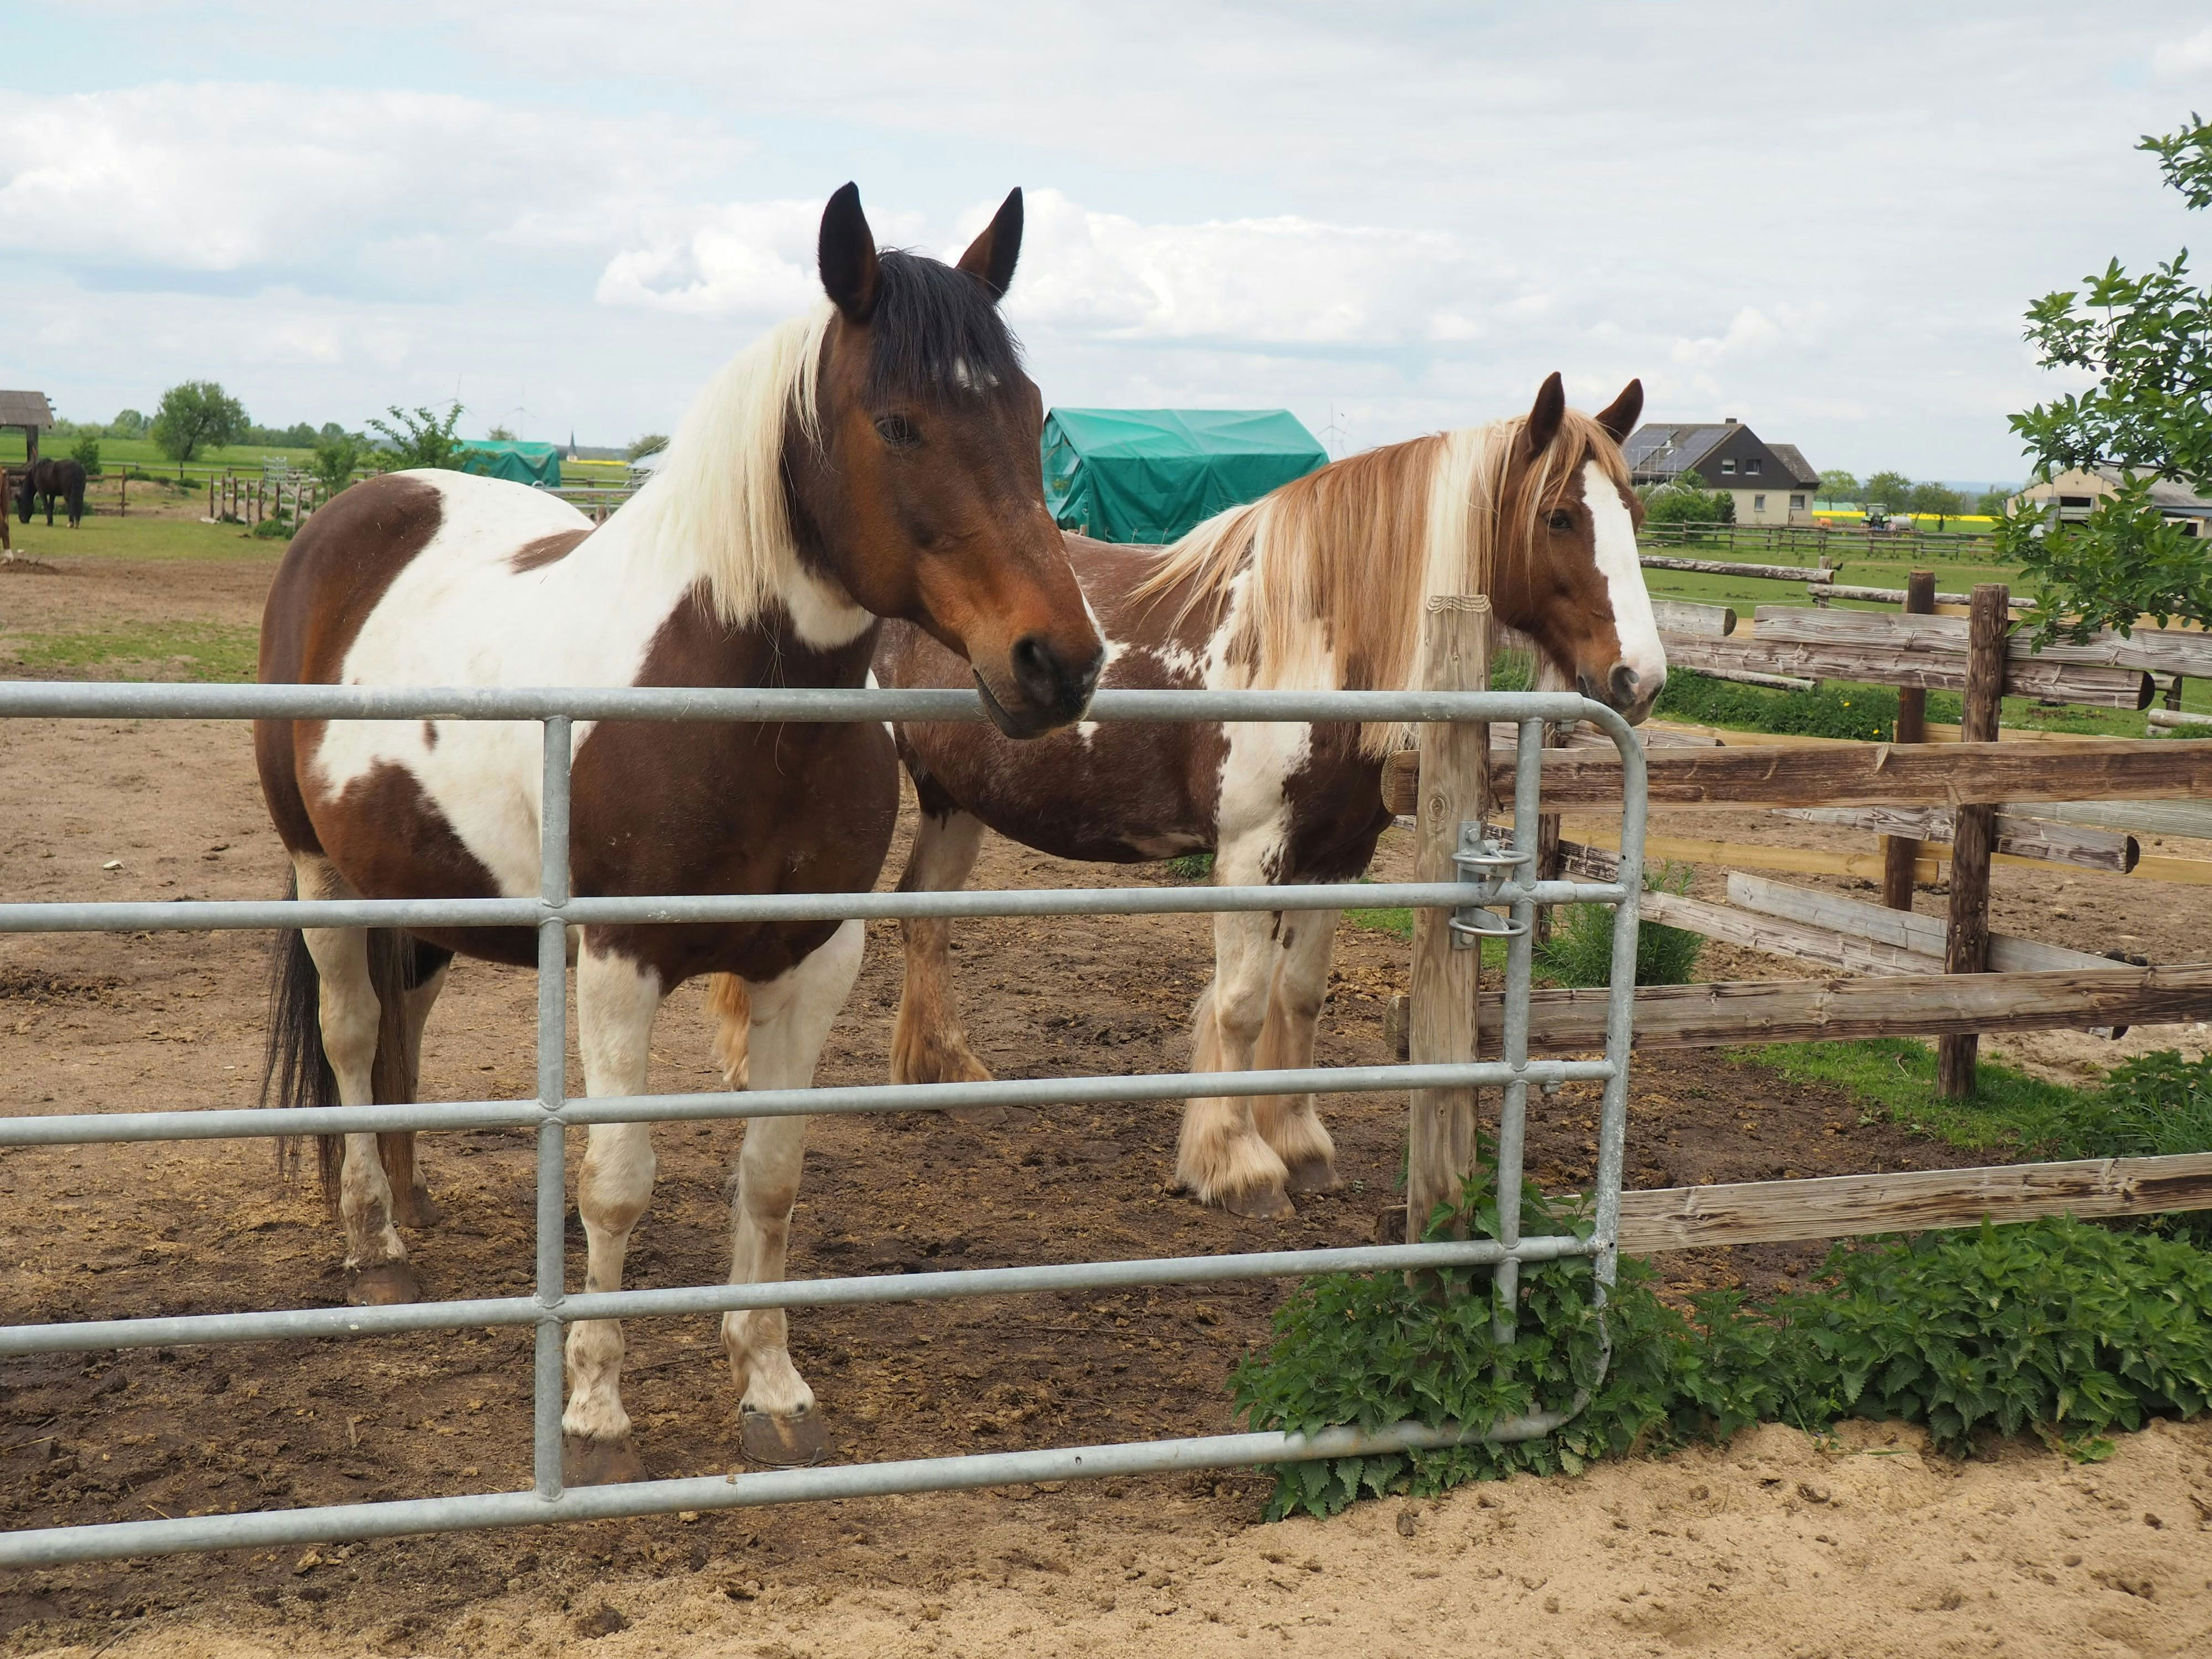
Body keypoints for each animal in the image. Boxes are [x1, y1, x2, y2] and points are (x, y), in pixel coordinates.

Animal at [15, 457, 87, 527]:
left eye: (19, 505)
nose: (23, 520)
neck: (35, 472)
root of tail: (76, 468)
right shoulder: (53, 493)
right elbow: (51, 506)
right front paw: (51, 521)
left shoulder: (42, 492)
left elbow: (46, 505)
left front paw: (49, 522)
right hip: (80, 493)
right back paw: (77, 523)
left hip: (67, 493)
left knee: (70, 504)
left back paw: (71, 523)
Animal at [254, 183, 1104, 1484]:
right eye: (899, 423)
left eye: (1030, 412)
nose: (1057, 661)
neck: (728, 698)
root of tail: (357, 508)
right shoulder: (618, 961)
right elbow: (616, 1181)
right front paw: (595, 1412)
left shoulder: (815, 959)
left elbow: (770, 1173)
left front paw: (772, 1383)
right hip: (321, 873)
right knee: (354, 1035)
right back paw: (375, 1246)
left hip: (425, 888)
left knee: (403, 1028)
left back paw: (414, 1200)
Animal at [709, 374, 1663, 1218]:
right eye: (1559, 516)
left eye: (1635, 513)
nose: (1641, 679)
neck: (1313, 636)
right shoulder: (1251, 852)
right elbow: (1239, 1005)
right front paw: (1235, 1165)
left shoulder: (1338, 858)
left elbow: (1299, 996)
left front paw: (1299, 1143)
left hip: (955, 801)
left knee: (924, 915)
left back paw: (943, 1073)